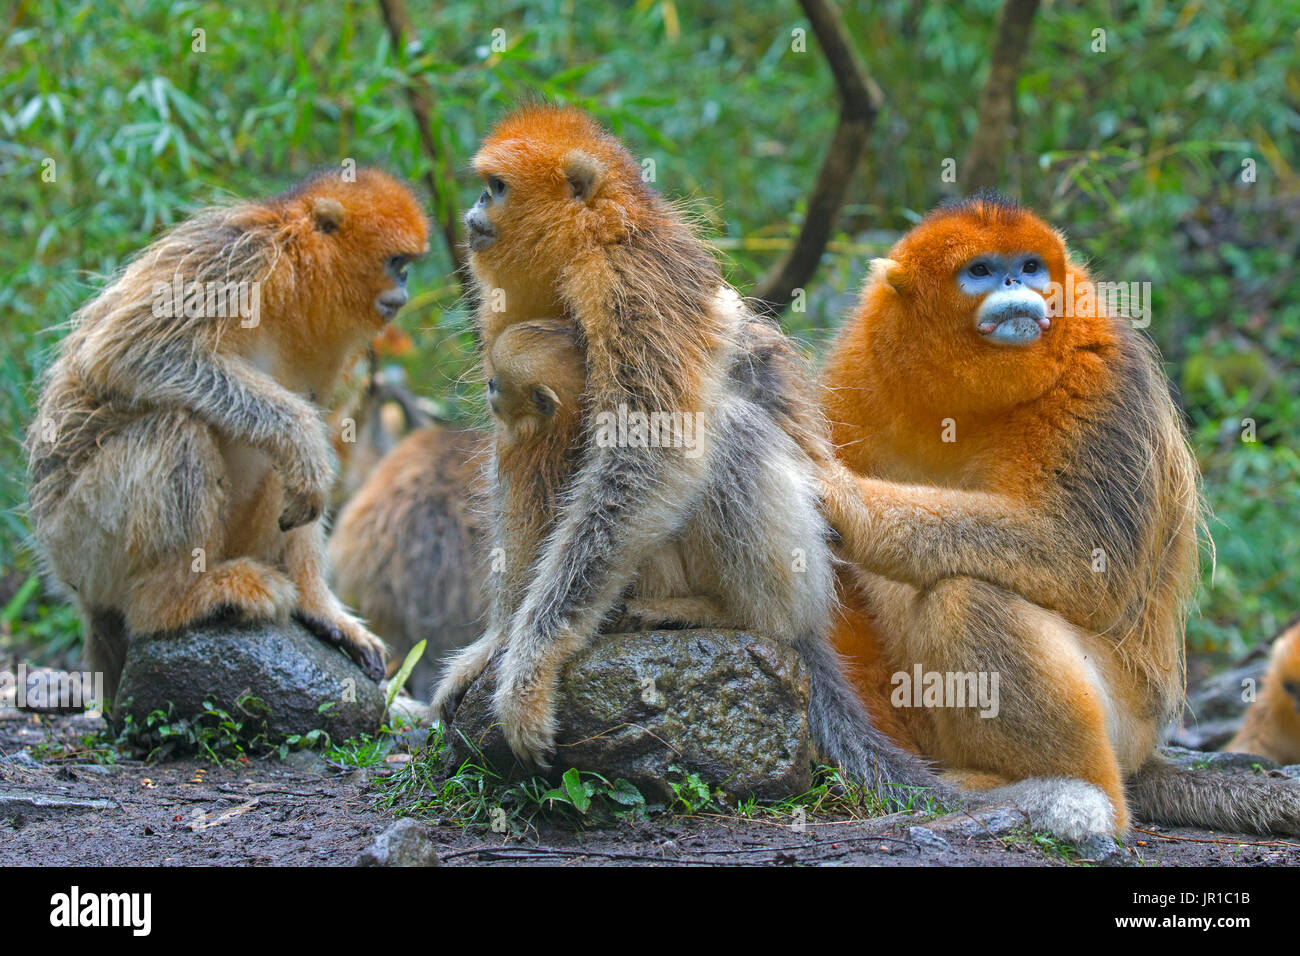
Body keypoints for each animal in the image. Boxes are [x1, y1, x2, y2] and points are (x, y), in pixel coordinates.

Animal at [26, 168, 429, 703]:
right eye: (396, 264)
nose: (404, 288)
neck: (293, 274)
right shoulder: (237, 256)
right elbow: (128, 351)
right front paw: (301, 435)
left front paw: (322, 607)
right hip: (81, 543)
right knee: (175, 428)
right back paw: (175, 601)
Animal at [429, 105, 943, 806]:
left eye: (496, 187)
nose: (474, 211)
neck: (591, 241)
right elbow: (524, 446)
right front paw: (496, 643)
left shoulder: (627, 281)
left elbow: (653, 448)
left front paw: (532, 667)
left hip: (799, 572)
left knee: (727, 429)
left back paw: (744, 615)